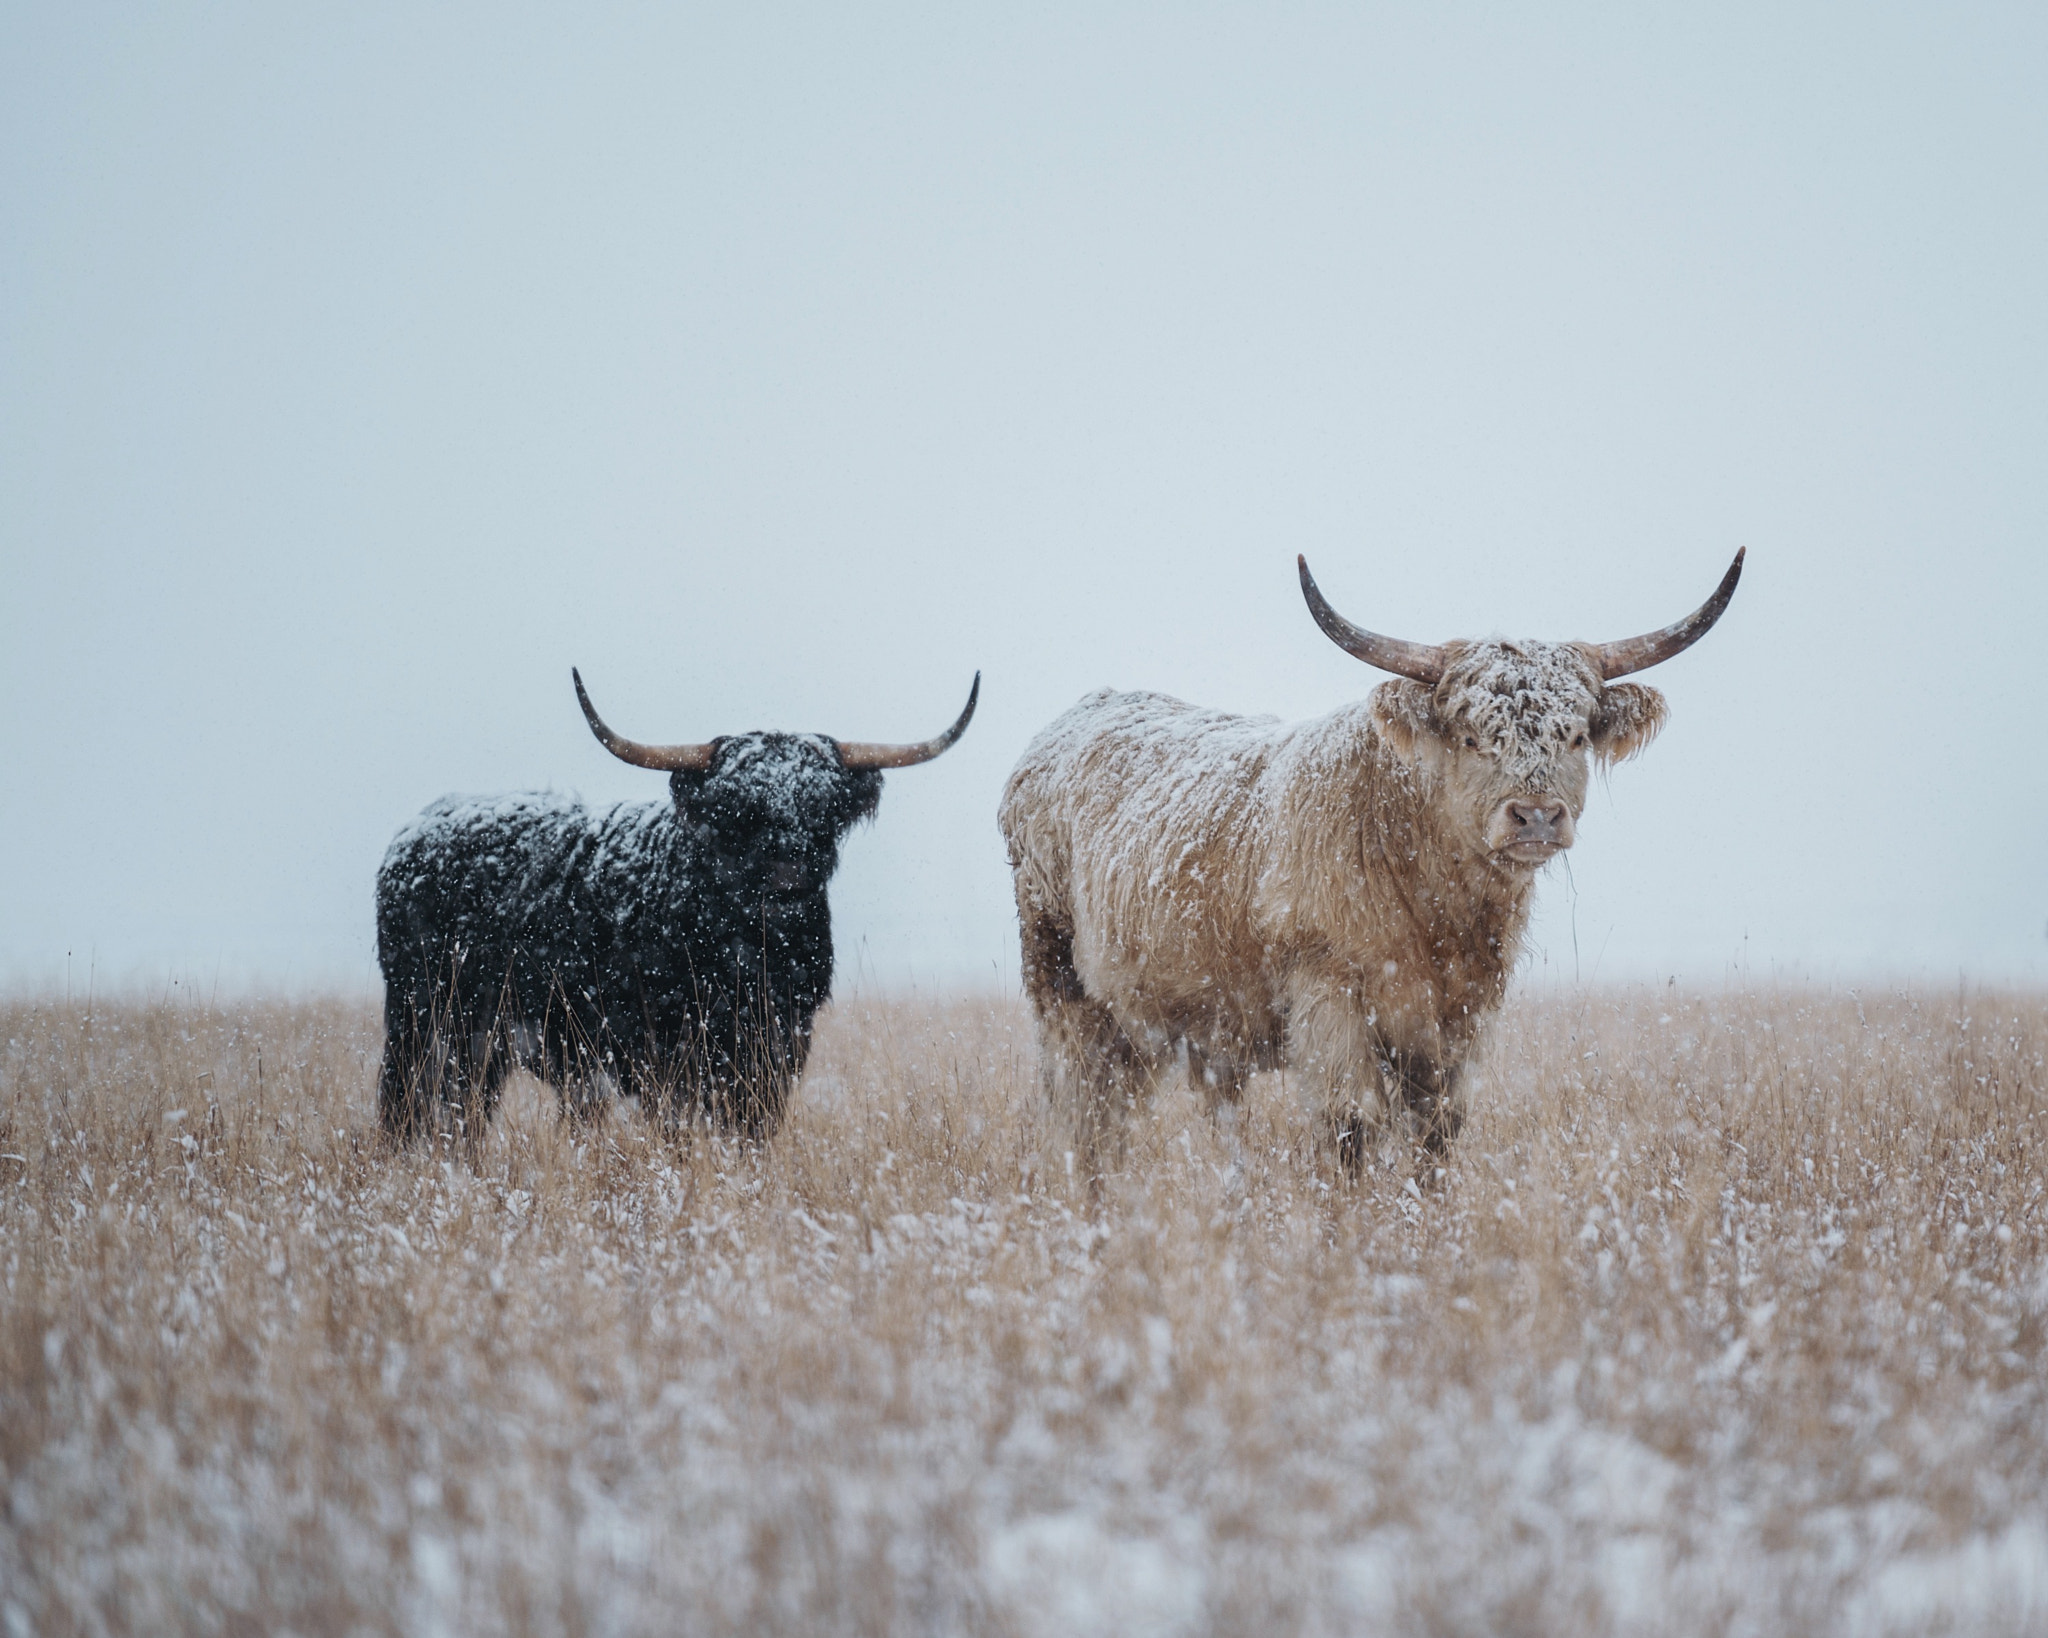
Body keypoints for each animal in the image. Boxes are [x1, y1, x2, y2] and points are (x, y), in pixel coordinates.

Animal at [375, 670, 978, 1144]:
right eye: (737, 810)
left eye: (824, 808)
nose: (786, 880)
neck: (753, 959)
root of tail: (419, 829)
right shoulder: (669, 1059)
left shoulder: (781, 1046)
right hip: (424, 1027)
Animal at [998, 553, 1742, 1177]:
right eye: (1470, 736)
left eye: (1578, 734)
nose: (1534, 817)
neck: (1435, 908)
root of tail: (1068, 724)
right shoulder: (1329, 995)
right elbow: (1348, 1131)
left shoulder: (1460, 1018)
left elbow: (1438, 1131)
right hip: (1061, 984)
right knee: (1083, 1115)